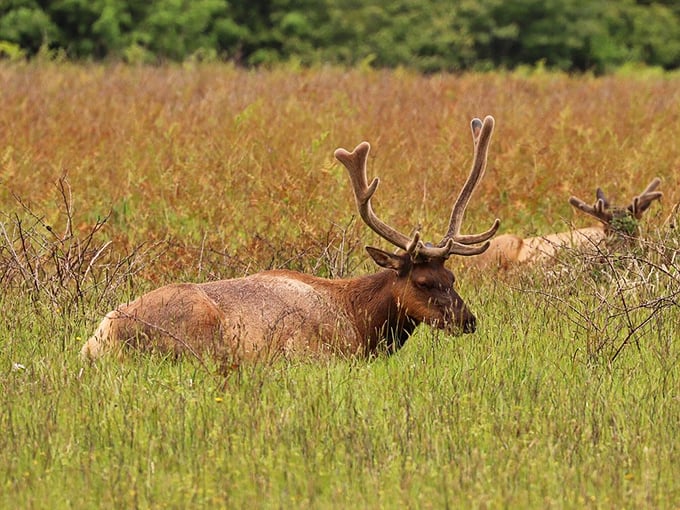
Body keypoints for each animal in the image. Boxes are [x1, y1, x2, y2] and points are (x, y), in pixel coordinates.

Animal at [81, 116, 500, 362]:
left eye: (452, 278)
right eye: (423, 281)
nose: (468, 320)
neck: (361, 322)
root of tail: (101, 337)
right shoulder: (311, 354)